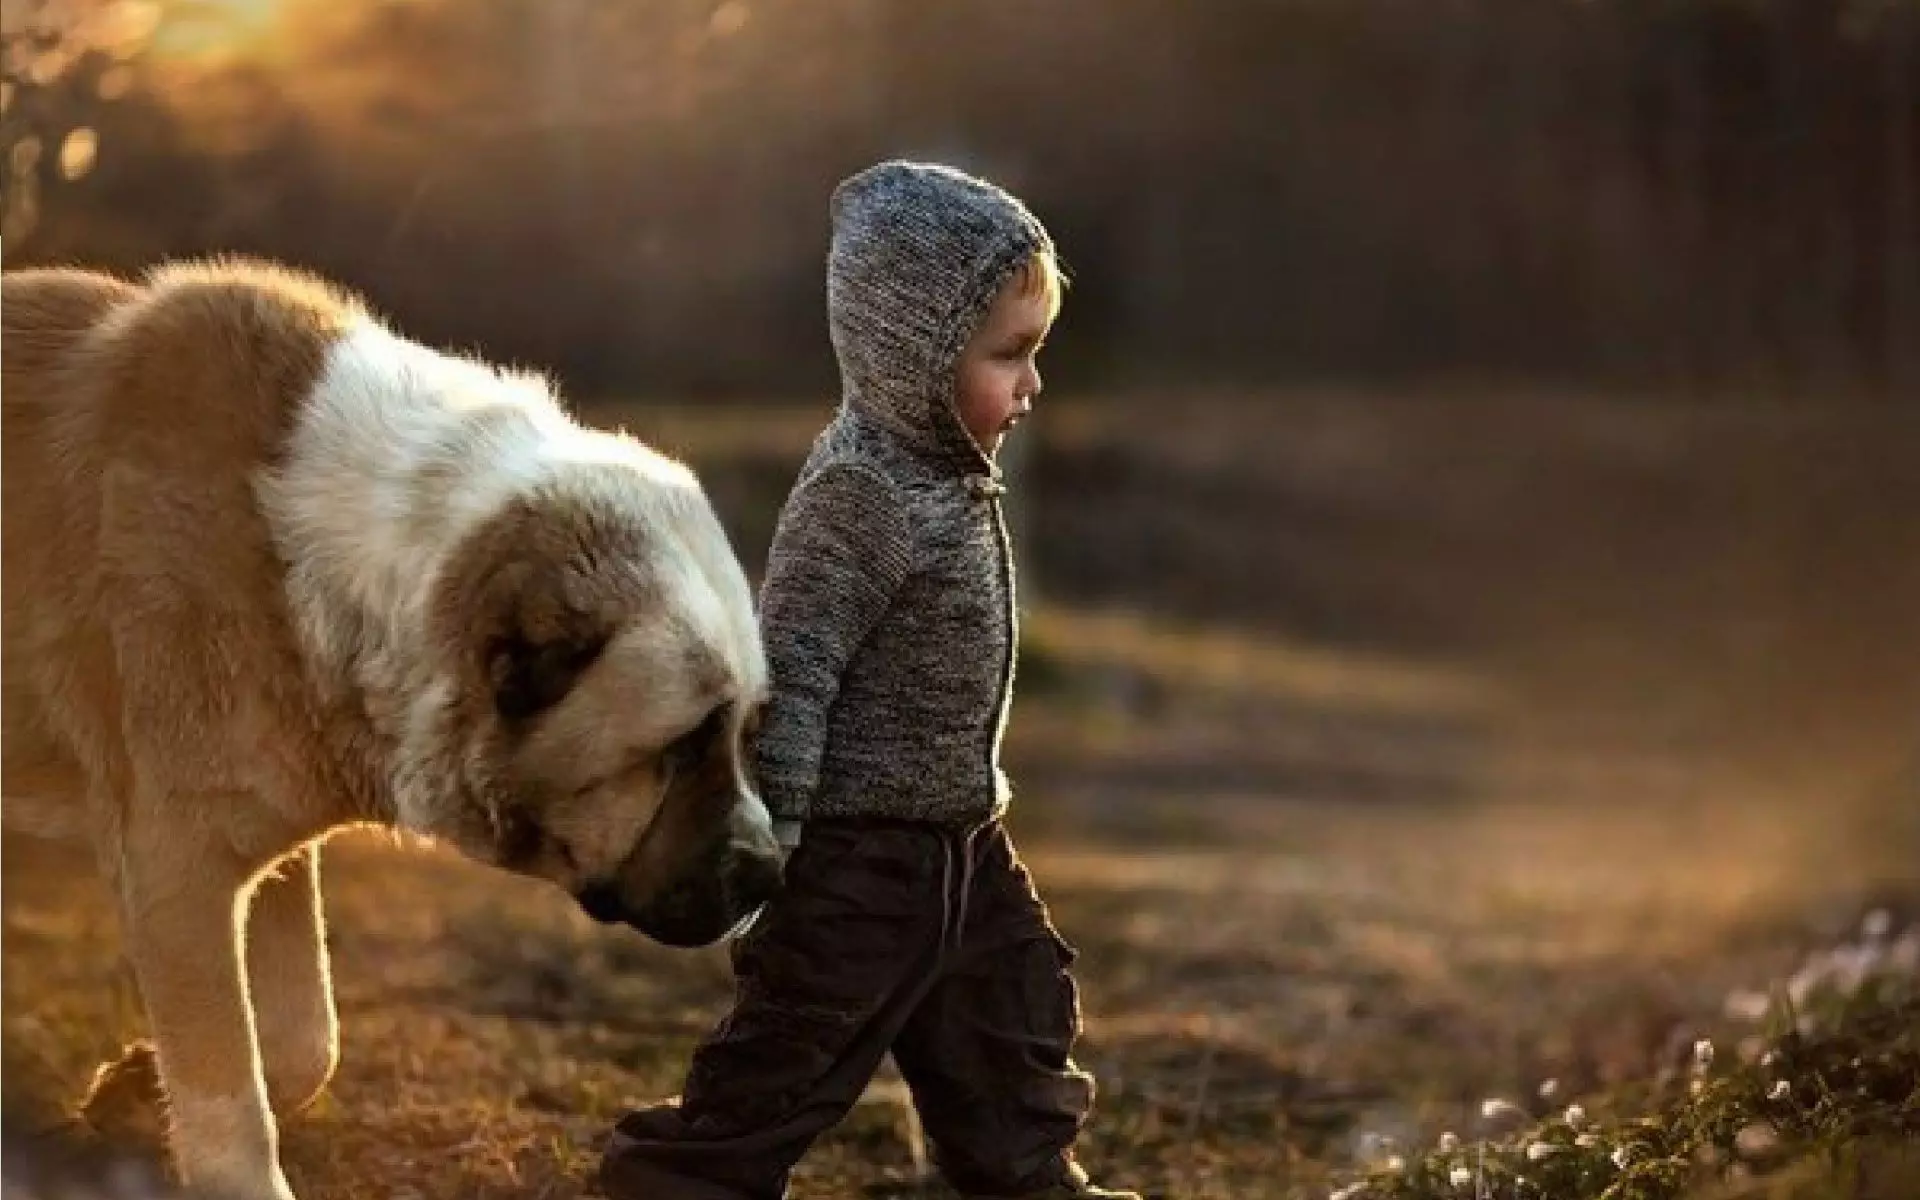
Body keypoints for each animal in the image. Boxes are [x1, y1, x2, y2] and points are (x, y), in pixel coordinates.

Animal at [1, 257, 779, 1190]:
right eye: (684, 745)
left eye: (746, 731)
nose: (771, 873)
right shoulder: (173, 863)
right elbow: (230, 1090)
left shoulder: (259, 842)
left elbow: (304, 1037)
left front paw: (138, 1085)